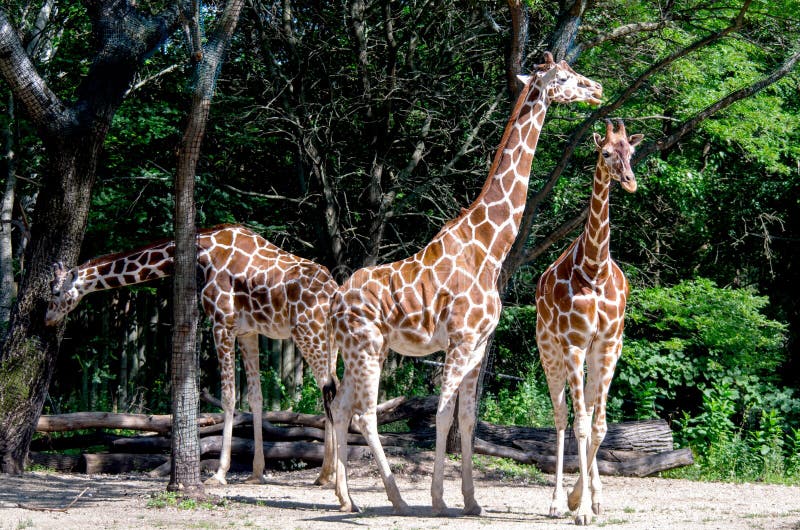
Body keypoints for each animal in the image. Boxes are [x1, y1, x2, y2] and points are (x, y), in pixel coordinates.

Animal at [45, 224, 339, 487]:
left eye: (56, 291)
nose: (47, 318)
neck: (204, 252)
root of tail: (334, 292)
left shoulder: (222, 323)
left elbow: (229, 397)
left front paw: (219, 474)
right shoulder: (247, 331)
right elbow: (255, 398)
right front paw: (257, 472)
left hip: (307, 333)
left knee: (329, 391)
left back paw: (327, 474)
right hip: (328, 341)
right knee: (333, 390)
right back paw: (328, 473)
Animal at [324, 53, 603, 516]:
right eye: (564, 78)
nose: (595, 88)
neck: (490, 247)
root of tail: (334, 302)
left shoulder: (478, 345)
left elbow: (468, 418)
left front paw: (472, 501)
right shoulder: (459, 340)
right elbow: (441, 414)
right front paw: (439, 498)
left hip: (363, 350)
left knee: (343, 407)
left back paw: (348, 500)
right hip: (365, 346)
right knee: (365, 413)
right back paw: (399, 500)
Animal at [535, 120, 642, 525]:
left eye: (632, 151)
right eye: (606, 152)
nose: (629, 181)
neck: (594, 269)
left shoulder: (608, 345)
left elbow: (599, 425)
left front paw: (587, 500)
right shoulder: (574, 344)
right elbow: (580, 424)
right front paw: (574, 506)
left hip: (595, 356)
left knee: (590, 412)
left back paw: (590, 498)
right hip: (550, 351)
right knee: (561, 416)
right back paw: (554, 502)